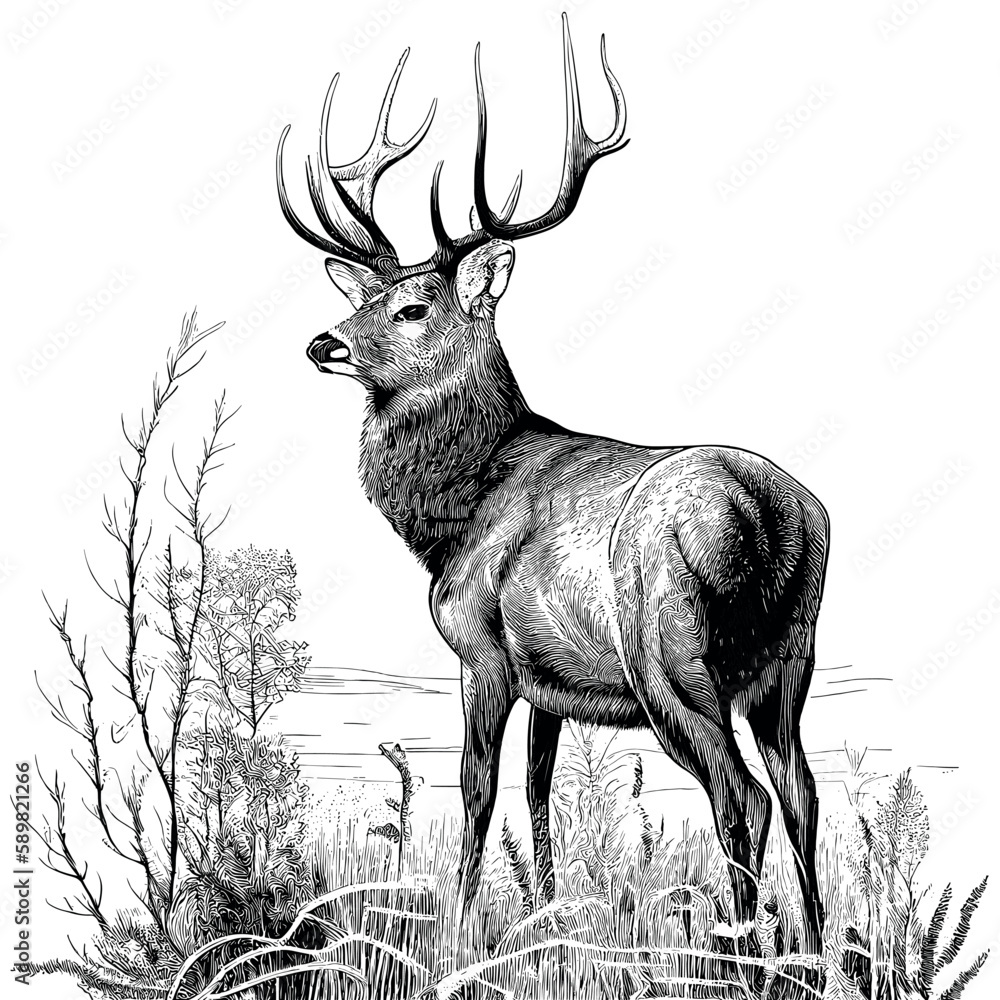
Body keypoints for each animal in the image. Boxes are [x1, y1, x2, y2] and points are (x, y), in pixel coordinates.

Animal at [276, 14, 830, 954]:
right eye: (368, 297)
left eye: (414, 308)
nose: (324, 342)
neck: (454, 518)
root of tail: (762, 516)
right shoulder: (551, 680)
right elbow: (535, 791)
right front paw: (541, 913)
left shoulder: (482, 652)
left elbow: (475, 791)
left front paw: (462, 931)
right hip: (789, 660)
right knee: (801, 794)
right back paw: (821, 956)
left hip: (670, 657)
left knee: (740, 796)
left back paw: (738, 950)